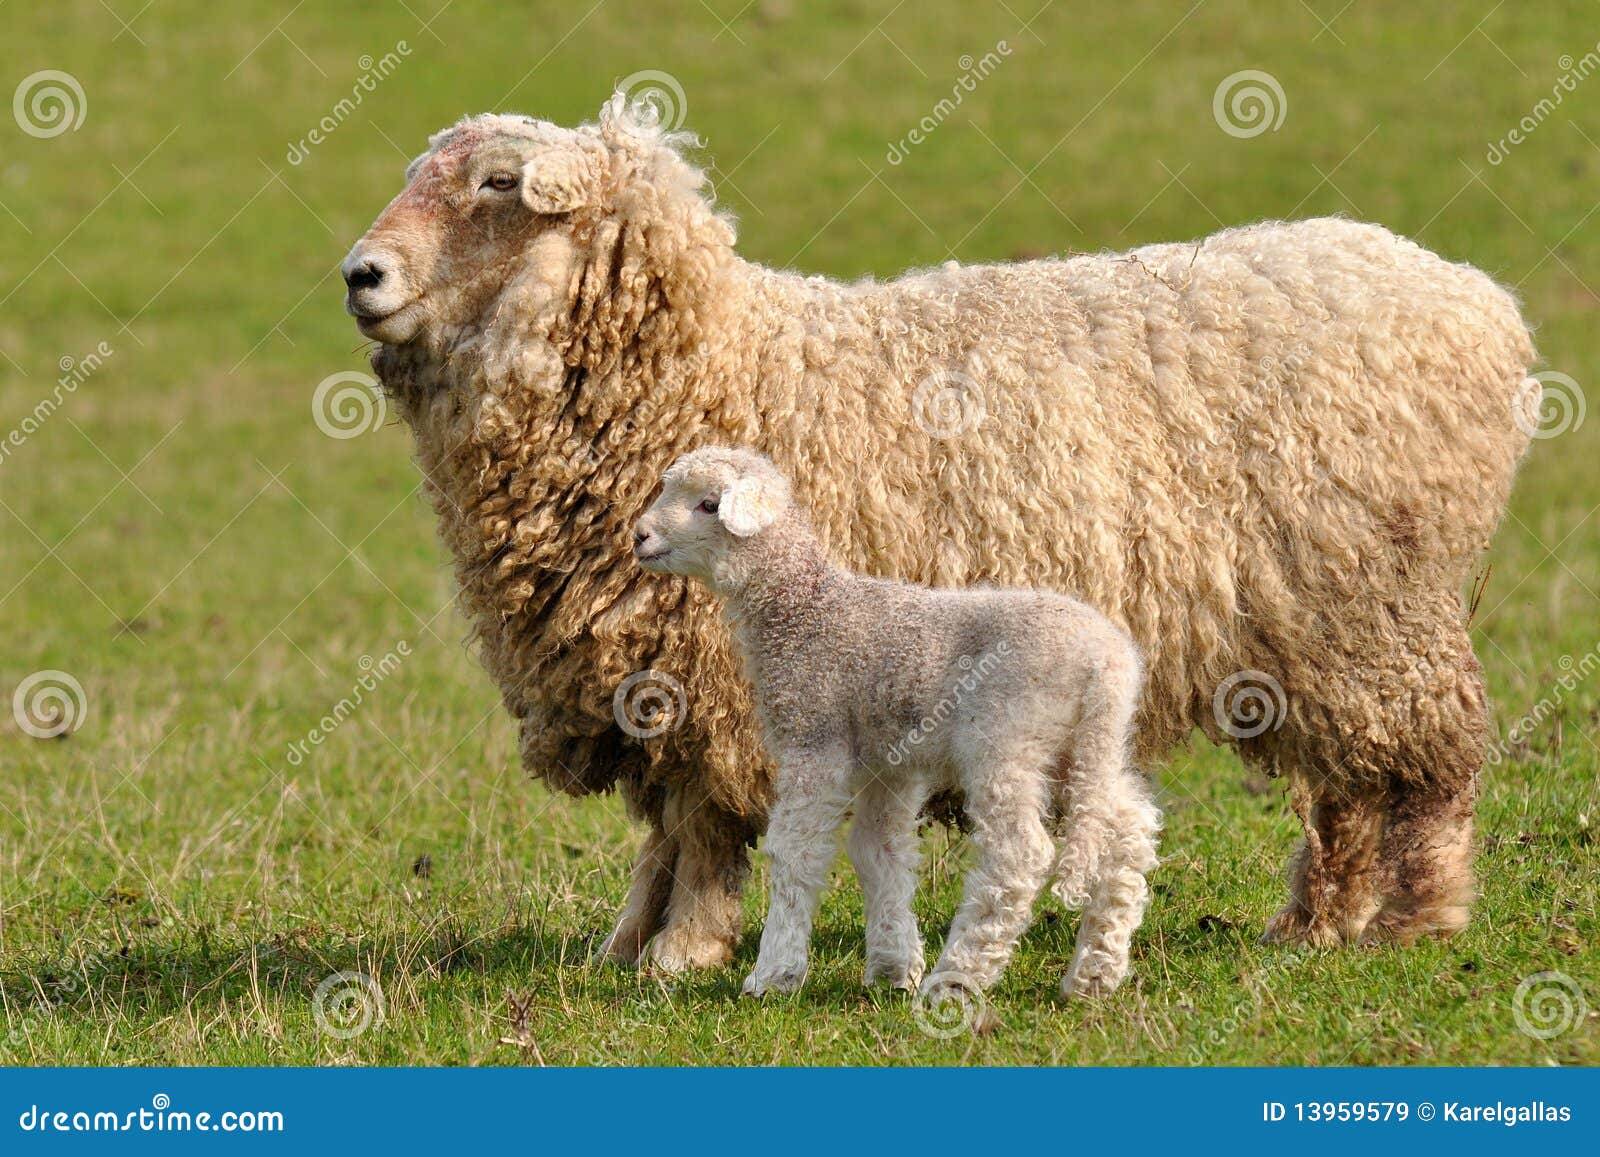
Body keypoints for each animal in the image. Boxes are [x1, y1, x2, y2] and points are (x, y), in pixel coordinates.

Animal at [632, 447, 1162, 999]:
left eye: (709, 504)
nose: (639, 536)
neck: (804, 605)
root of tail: (1105, 663)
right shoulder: (889, 763)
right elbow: (878, 851)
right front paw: (892, 968)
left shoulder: (814, 738)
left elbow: (796, 852)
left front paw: (773, 974)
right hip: (1085, 747)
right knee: (1129, 831)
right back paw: (1094, 974)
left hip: (1006, 736)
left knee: (1019, 853)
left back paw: (959, 975)